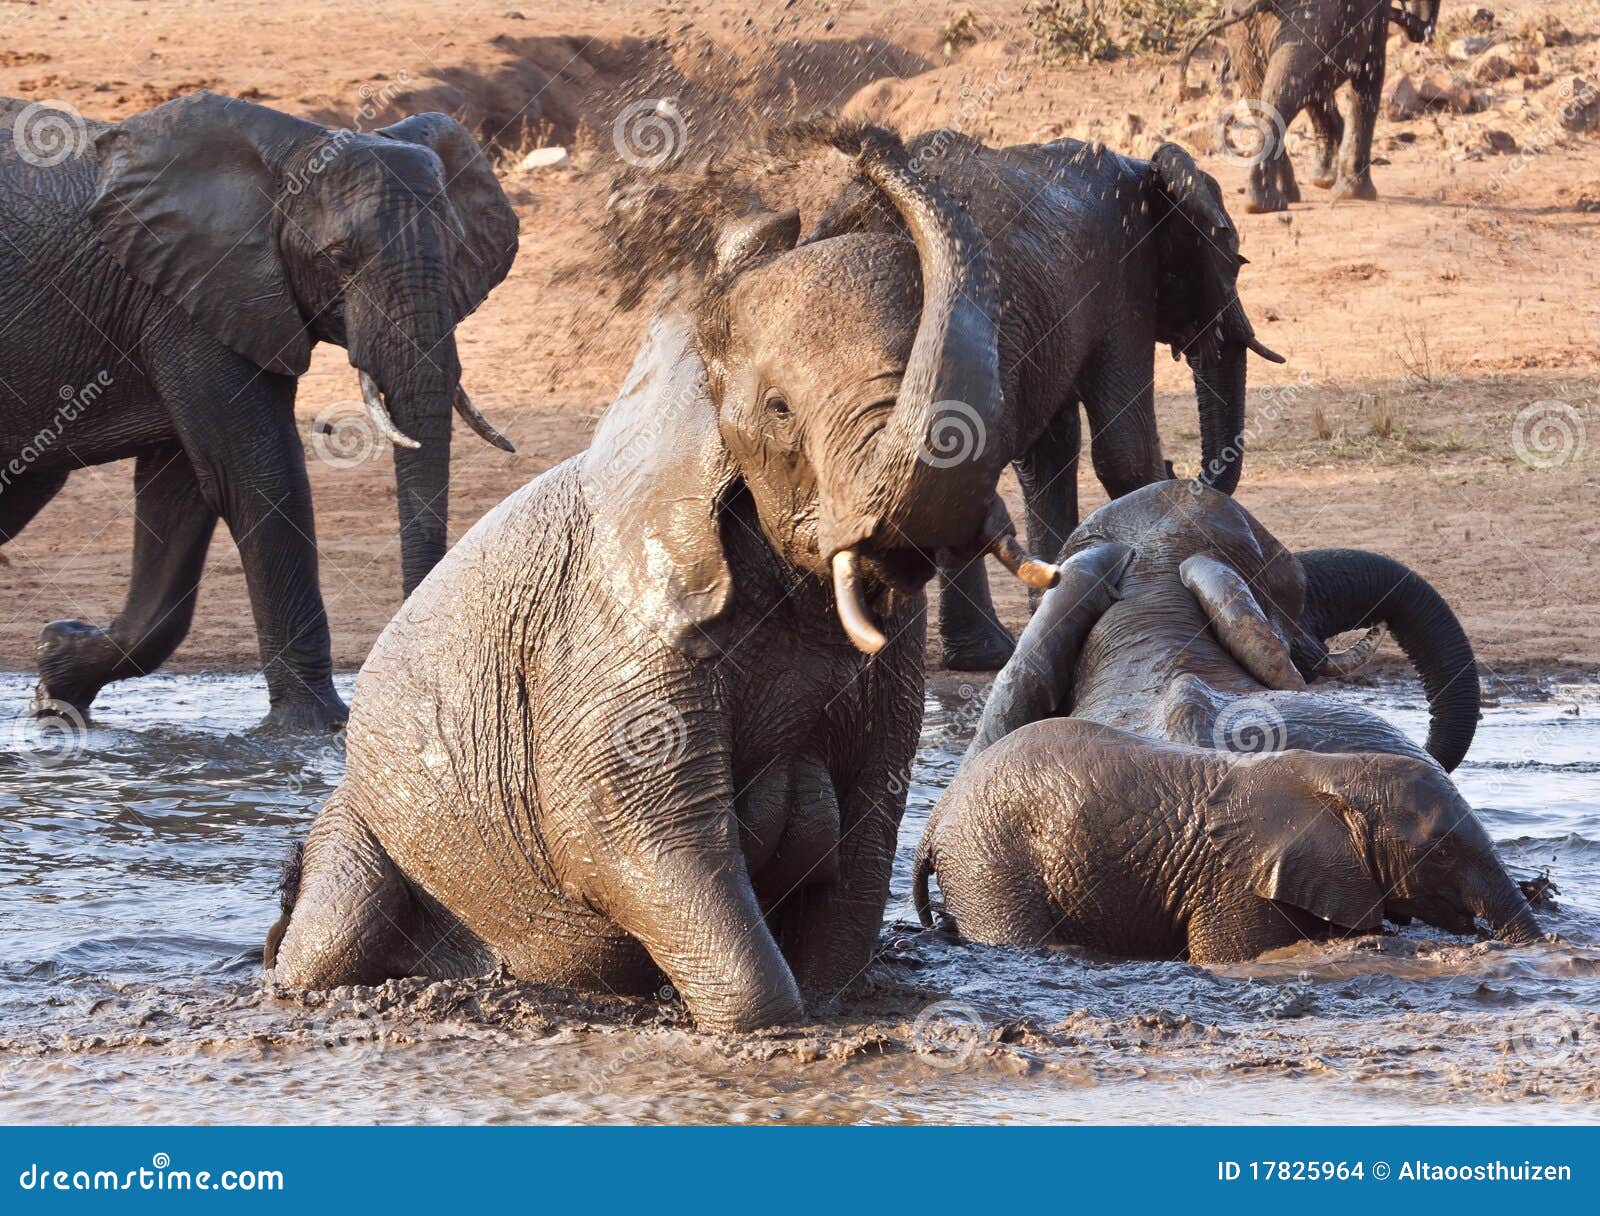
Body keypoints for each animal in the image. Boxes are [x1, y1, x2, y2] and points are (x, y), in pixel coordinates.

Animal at [0, 91, 518, 730]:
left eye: (454, 252)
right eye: (338, 258)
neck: (291, 153)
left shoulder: (198, 299)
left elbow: (184, 494)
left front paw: (58, 664)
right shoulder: (190, 298)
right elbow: (257, 477)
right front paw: (315, 728)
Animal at [266, 126, 1057, 1032]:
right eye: (780, 410)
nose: (855, 142)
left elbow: (862, 846)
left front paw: (834, 1006)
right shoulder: (615, 634)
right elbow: (628, 831)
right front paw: (760, 1024)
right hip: (358, 820)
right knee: (332, 936)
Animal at [803, 126, 1281, 670]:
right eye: (1236, 260)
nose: (1180, 468)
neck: (1145, 170)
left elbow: (1048, 453)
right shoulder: (1122, 282)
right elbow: (1124, 450)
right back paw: (984, 656)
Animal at [1180, 1, 1441, 213]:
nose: (1421, 32)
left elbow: (1317, 89)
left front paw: (1324, 180)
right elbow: (1369, 77)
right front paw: (1354, 193)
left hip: (1244, 33)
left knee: (1267, 92)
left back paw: (1273, 200)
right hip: (1309, 18)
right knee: (1286, 89)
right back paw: (1269, 202)